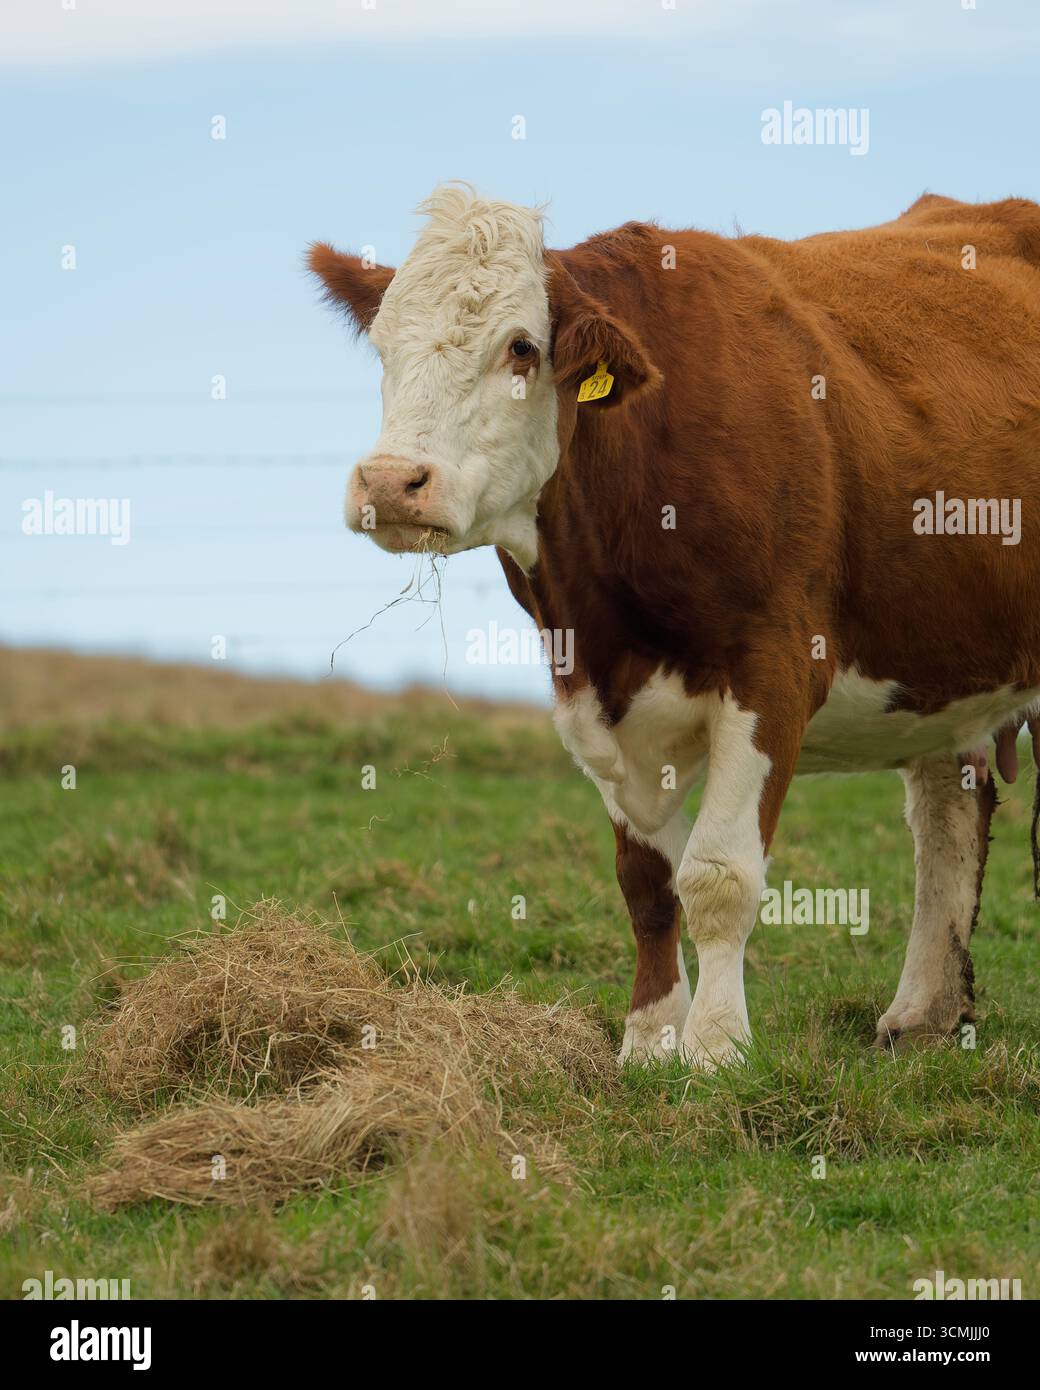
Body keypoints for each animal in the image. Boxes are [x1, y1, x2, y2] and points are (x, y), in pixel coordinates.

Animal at [309, 184, 1040, 1069]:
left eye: (521, 346)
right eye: (385, 345)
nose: (391, 482)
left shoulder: (774, 671)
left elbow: (718, 877)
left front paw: (718, 1047)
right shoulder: (588, 693)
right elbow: (647, 885)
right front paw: (651, 1038)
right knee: (946, 817)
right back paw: (924, 1016)